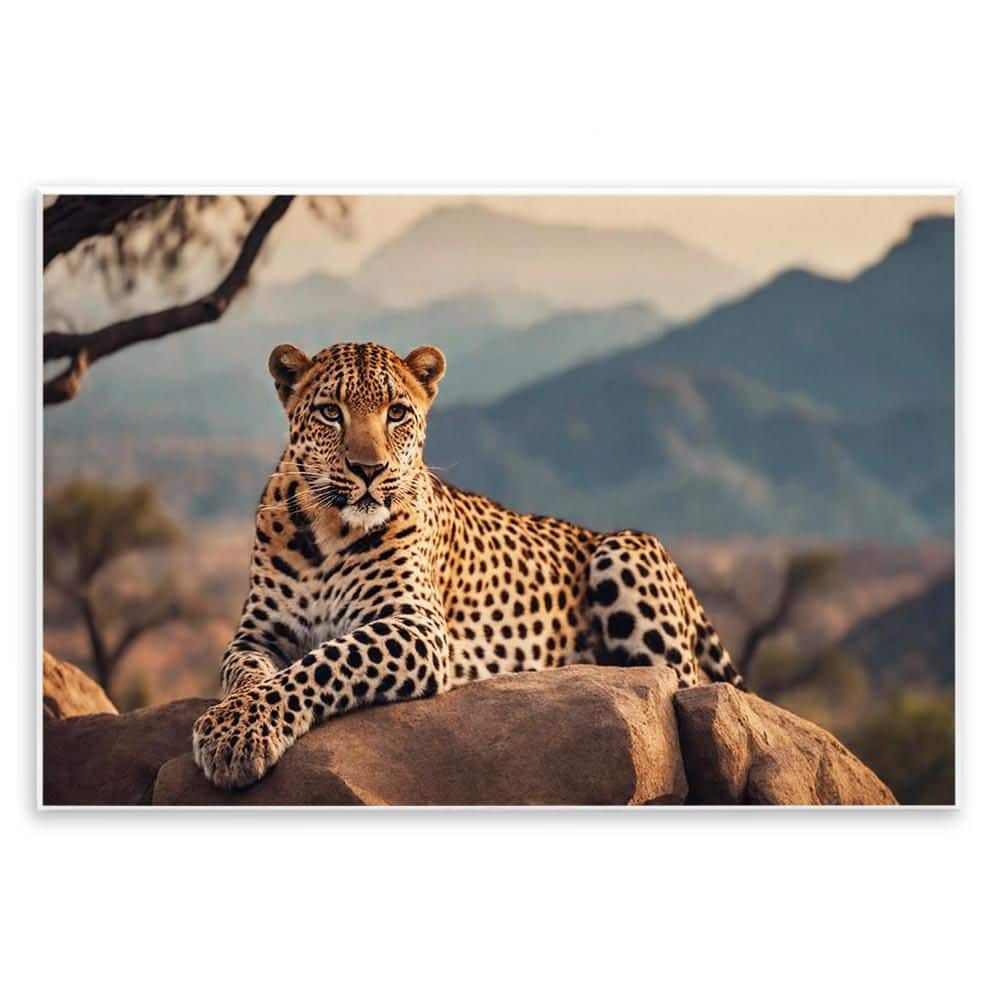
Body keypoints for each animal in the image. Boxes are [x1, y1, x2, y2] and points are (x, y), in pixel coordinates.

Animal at [192, 341, 744, 789]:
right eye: (330, 412)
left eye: (397, 413)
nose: (370, 470)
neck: (330, 529)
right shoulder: (258, 633)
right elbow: (247, 672)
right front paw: (234, 719)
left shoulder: (416, 626)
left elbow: (326, 661)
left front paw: (236, 733)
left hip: (625, 554)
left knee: (682, 682)